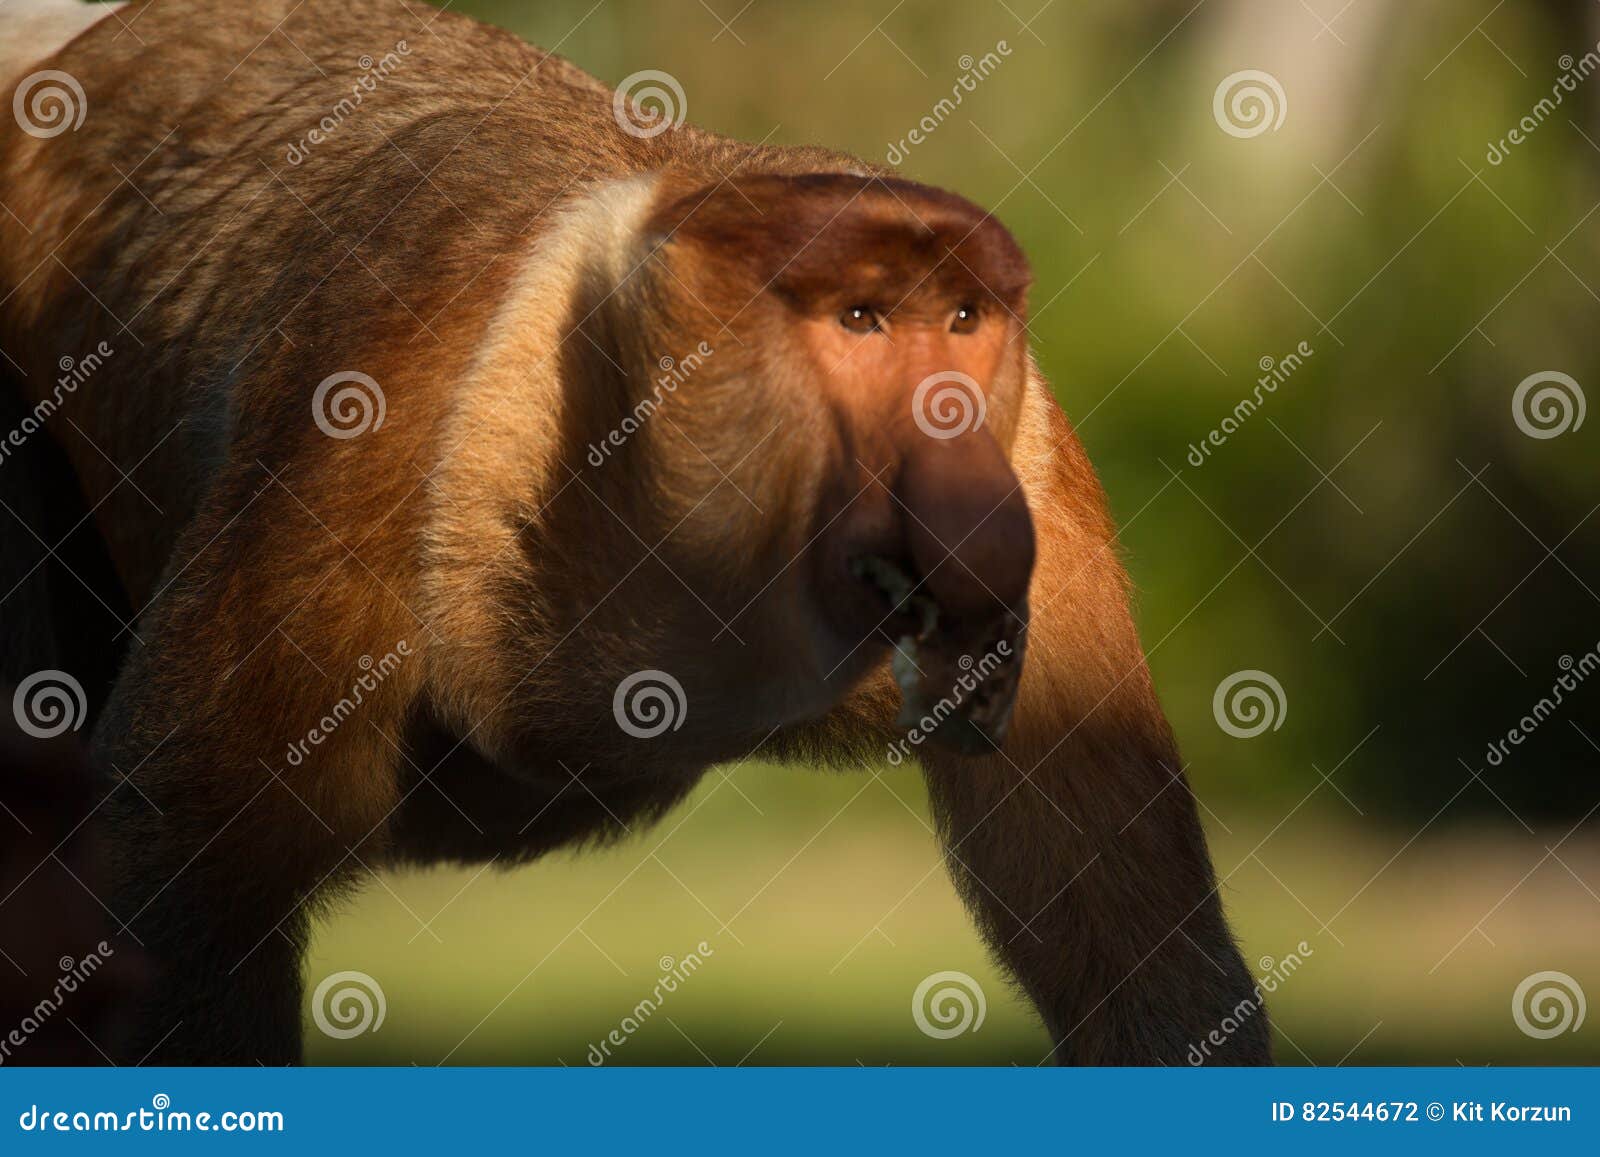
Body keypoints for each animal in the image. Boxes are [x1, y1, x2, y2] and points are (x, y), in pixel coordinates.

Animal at [0, 0, 1270, 1065]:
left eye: (962, 318)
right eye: (863, 319)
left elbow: (1141, 967)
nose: (957, 470)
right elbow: (181, 874)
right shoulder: (387, 374)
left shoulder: (1038, 470)